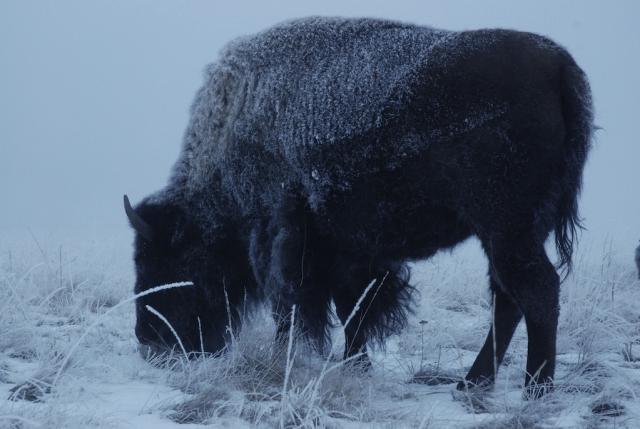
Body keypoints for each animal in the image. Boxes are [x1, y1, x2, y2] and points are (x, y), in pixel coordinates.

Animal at [125, 17, 593, 397]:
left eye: (165, 262)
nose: (151, 341)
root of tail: (559, 67)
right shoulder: (352, 249)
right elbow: (354, 310)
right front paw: (356, 365)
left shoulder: (287, 240)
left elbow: (294, 305)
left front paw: (287, 360)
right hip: (509, 234)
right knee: (507, 296)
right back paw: (473, 383)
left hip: (507, 228)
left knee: (535, 291)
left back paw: (535, 388)